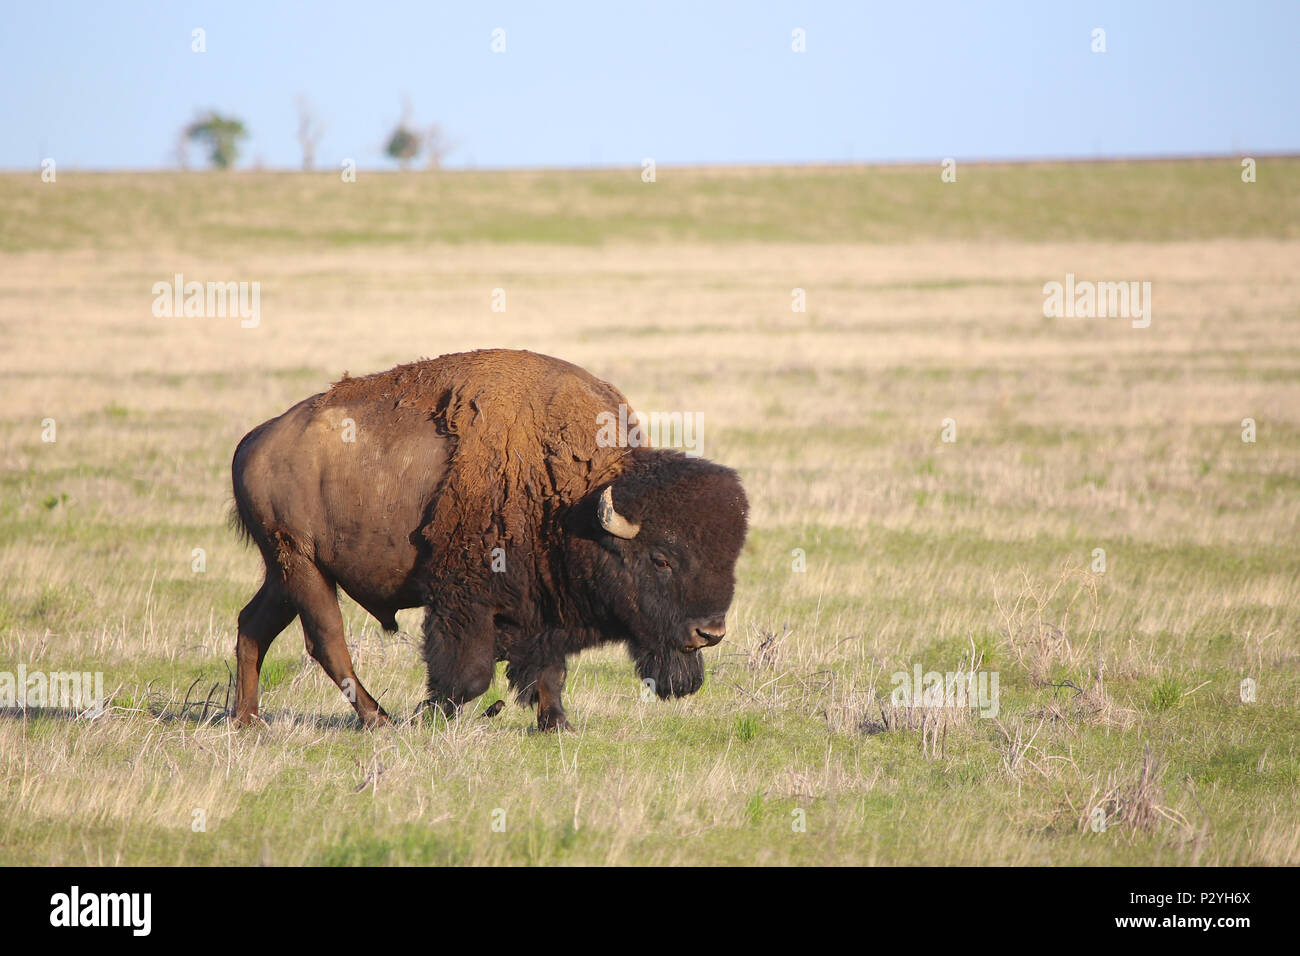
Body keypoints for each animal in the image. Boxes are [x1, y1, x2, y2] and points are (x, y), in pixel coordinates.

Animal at [230, 349, 748, 731]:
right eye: (661, 559)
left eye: (729, 557)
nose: (710, 633)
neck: (574, 498)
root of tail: (253, 441)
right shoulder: (466, 599)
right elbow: (471, 674)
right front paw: (433, 714)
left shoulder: (541, 609)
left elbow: (548, 670)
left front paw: (557, 725)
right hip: (302, 563)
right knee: (327, 640)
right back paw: (381, 721)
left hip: (284, 573)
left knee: (254, 625)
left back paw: (248, 721)